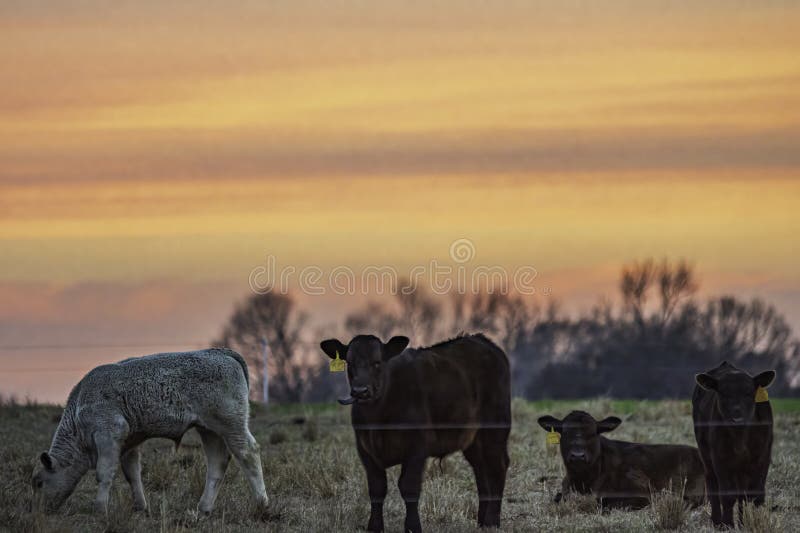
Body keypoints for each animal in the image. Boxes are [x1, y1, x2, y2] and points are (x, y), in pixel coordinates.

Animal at [31, 348, 268, 516]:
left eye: (39, 482)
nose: (37, 510)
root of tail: (221, 352)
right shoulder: (128, 442)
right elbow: (132, 474)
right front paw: (140, 506)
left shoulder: (108, 434)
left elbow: (104, 473)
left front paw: (99, 508)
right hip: (209, 430)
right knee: (217, 462)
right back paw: (204, 508)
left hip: (232, 425)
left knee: (248, 453)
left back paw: (262, 503)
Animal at [319, 333, 511, 533]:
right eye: (349, 363)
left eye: (377, 362)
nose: (360, 391)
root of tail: (481, 340)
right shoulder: (365, 449)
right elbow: (376, 488)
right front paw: (374, 527)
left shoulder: (417, 447)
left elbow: (409, 487)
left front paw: (412, 527)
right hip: (473, 438)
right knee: (481, 469)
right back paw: (482, 521)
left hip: (495, 428)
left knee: (497, 466)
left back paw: (492, 521)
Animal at [537, 411, 705, 509]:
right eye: (564, 433)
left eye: (593, 433)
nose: (578, 455)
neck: (583, 481)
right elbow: (558, 498)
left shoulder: (640, 492)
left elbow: (605, 502)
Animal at [692, 361, 776, 528]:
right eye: (724, 394)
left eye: (749, 393)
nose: (737, 416)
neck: (740, 437)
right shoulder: (720, 459)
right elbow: (727, 495)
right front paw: (728, 524)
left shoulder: (763, 456)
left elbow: (755, 495)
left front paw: (752, 523)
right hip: (707, 457)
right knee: (713, 485)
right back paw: (717, 521)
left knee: (742, 494)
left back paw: (742, 521)